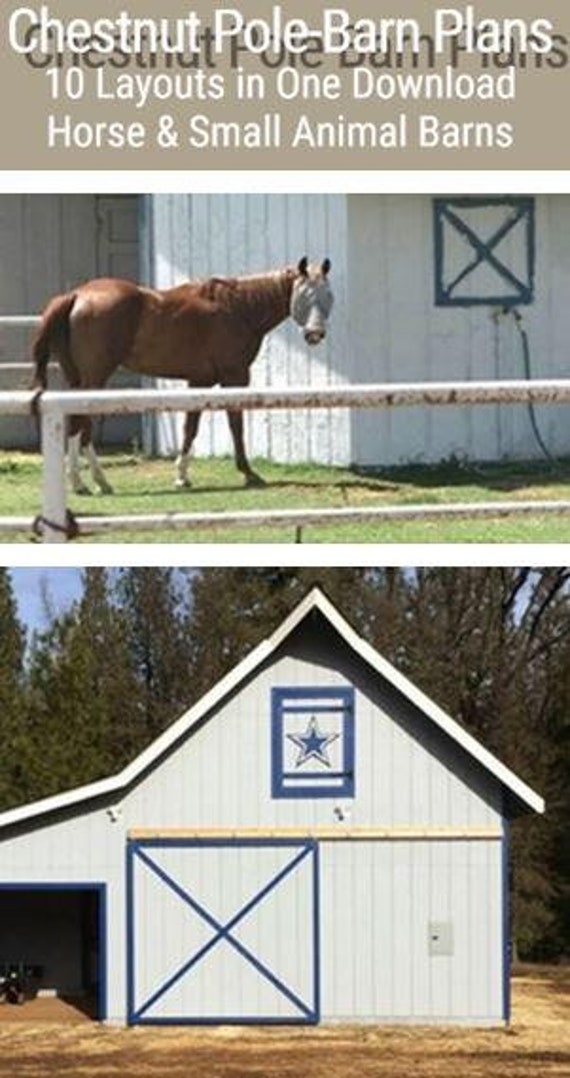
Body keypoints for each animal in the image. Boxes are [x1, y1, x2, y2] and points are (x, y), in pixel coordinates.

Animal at [31, 256, 334, 494]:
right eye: (304, 296)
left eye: (328, 296)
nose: (315, 334)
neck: (238, 307)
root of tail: (77, 295)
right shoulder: (234, 377)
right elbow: (235, 424)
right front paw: (248, 473)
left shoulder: (200, 381)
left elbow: (190, 426)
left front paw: (181, 476)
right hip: (95, 378)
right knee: (81, 422)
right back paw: (90, 481)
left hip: (78, 377)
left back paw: (86, 481)